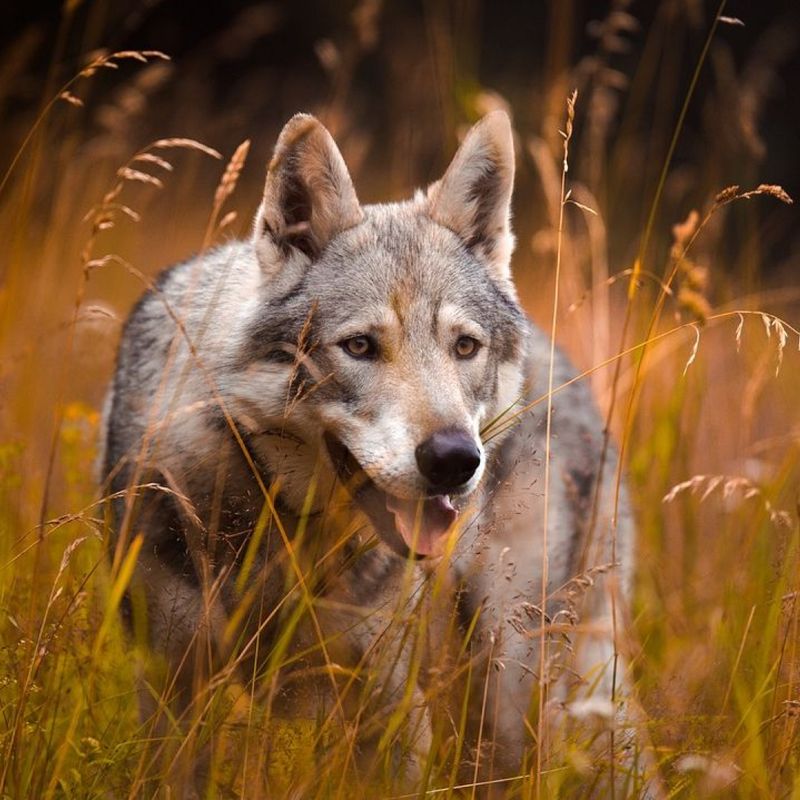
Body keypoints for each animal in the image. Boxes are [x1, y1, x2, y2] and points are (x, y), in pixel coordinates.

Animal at [100, 111, 644, 795]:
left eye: (464, 347)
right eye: (359, 346)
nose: (455, 460)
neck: (287, 534)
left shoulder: (390, 713)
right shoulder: (170, 693)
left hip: (511, 688)